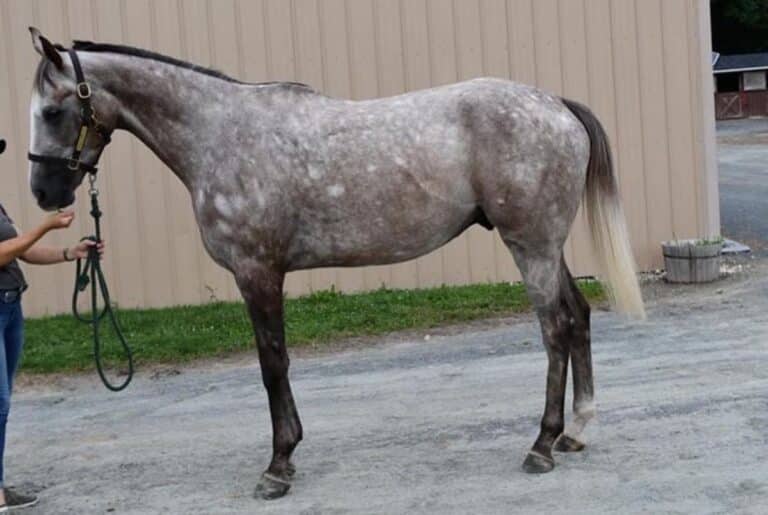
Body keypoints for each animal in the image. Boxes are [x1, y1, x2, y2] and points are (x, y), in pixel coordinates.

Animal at [26, 27, 644, 499]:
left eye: (54, 111)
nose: (43, 193)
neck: (220, 134)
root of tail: (556, 104)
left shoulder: (257, 272)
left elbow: (272, 364)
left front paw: (278, 466)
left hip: (531, 245)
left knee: (556, 329)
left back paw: (542, 445)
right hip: (545, 246)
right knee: (579, 316)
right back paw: (575, 432)